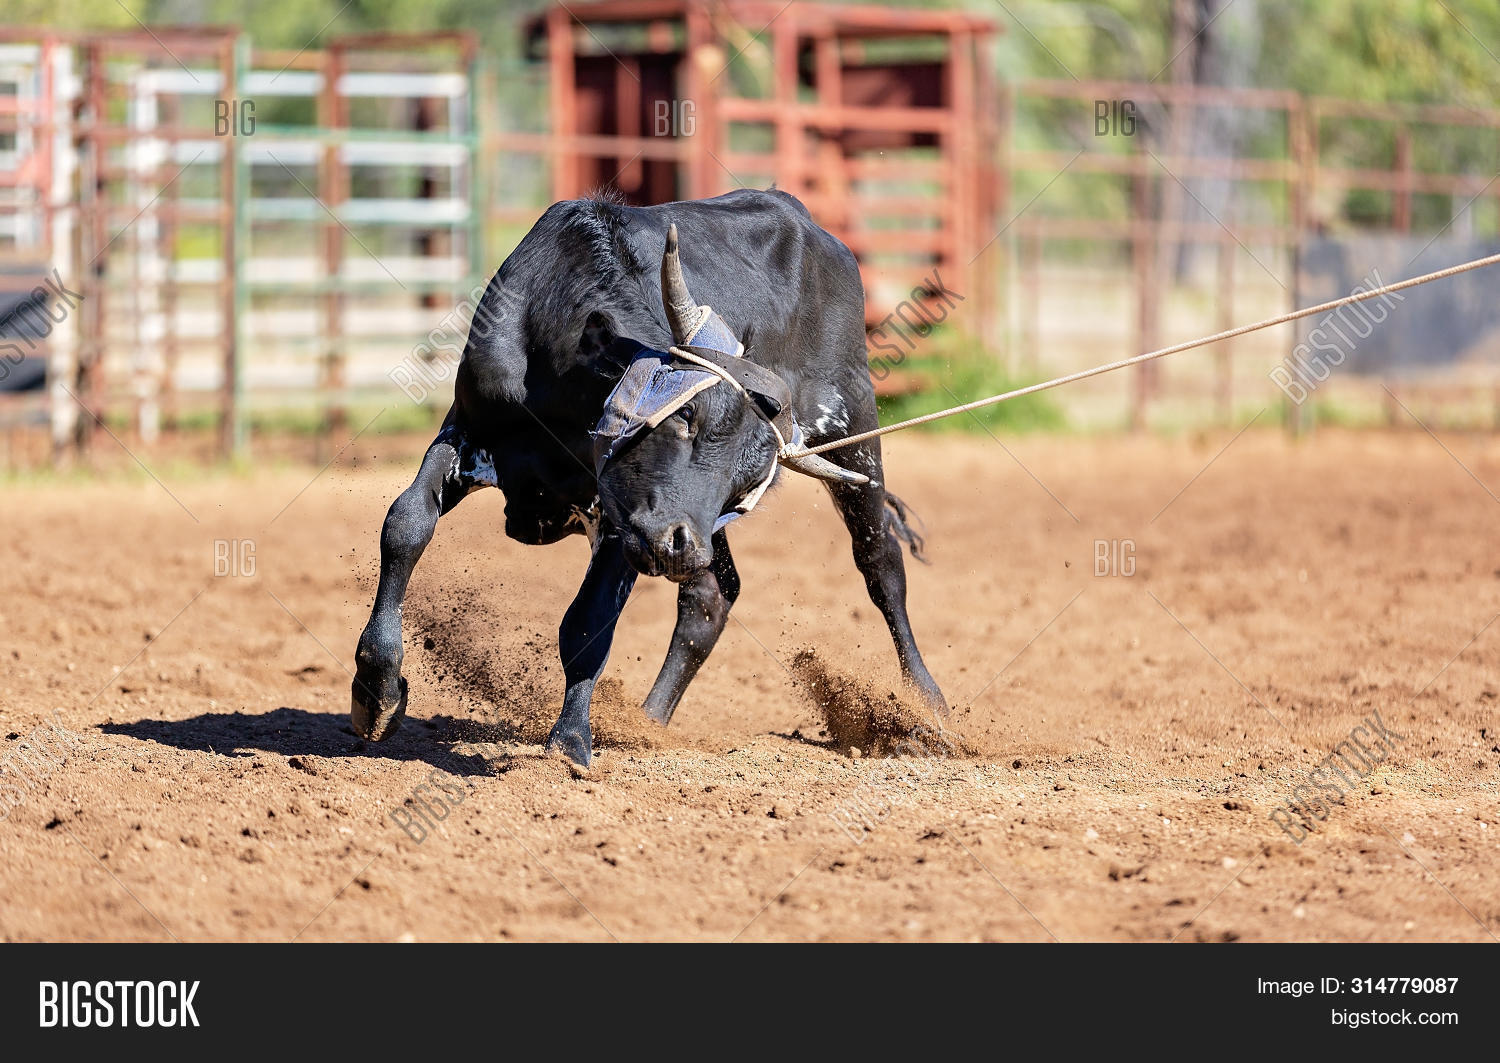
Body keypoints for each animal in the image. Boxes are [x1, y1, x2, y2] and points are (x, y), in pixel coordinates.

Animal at [351, 188, 945, 768]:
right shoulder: (466, 429)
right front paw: (376, 689)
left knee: (880, 564)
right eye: (686, 416)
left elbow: (589, 621)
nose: (679, 547)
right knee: (712, 594)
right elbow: (406, 524)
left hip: (853, 429)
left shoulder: (621, 517)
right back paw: (648, 723)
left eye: (745, 479)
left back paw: (928, 710)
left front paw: (569, 742)